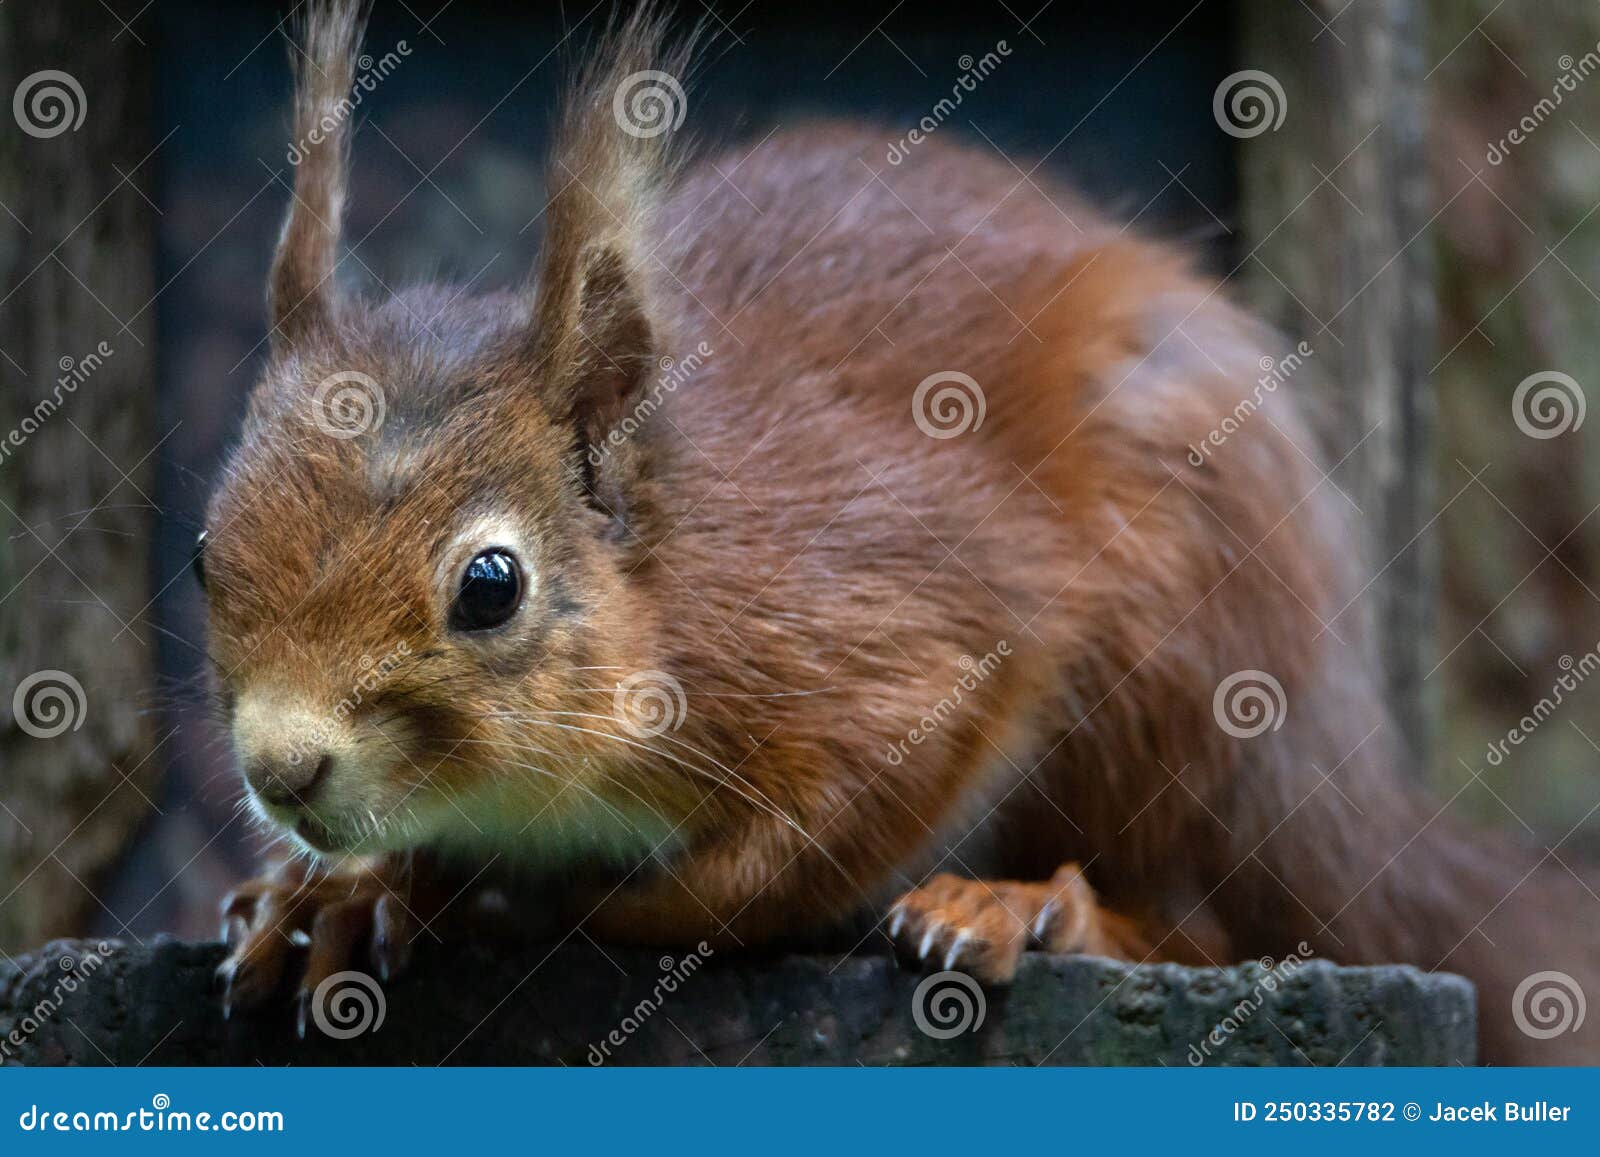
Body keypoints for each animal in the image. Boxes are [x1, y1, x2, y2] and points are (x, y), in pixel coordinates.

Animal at [202, 1, 1596, 1064]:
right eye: (206, 552)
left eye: (490, 584)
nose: (282, 768)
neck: (678, 565)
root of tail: (1341, 771)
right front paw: (341, 894)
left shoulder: (898, 639)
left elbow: (780, 861)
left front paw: (585, 901)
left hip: (1183, 664)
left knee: (1209, 912)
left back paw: (1036, 905)